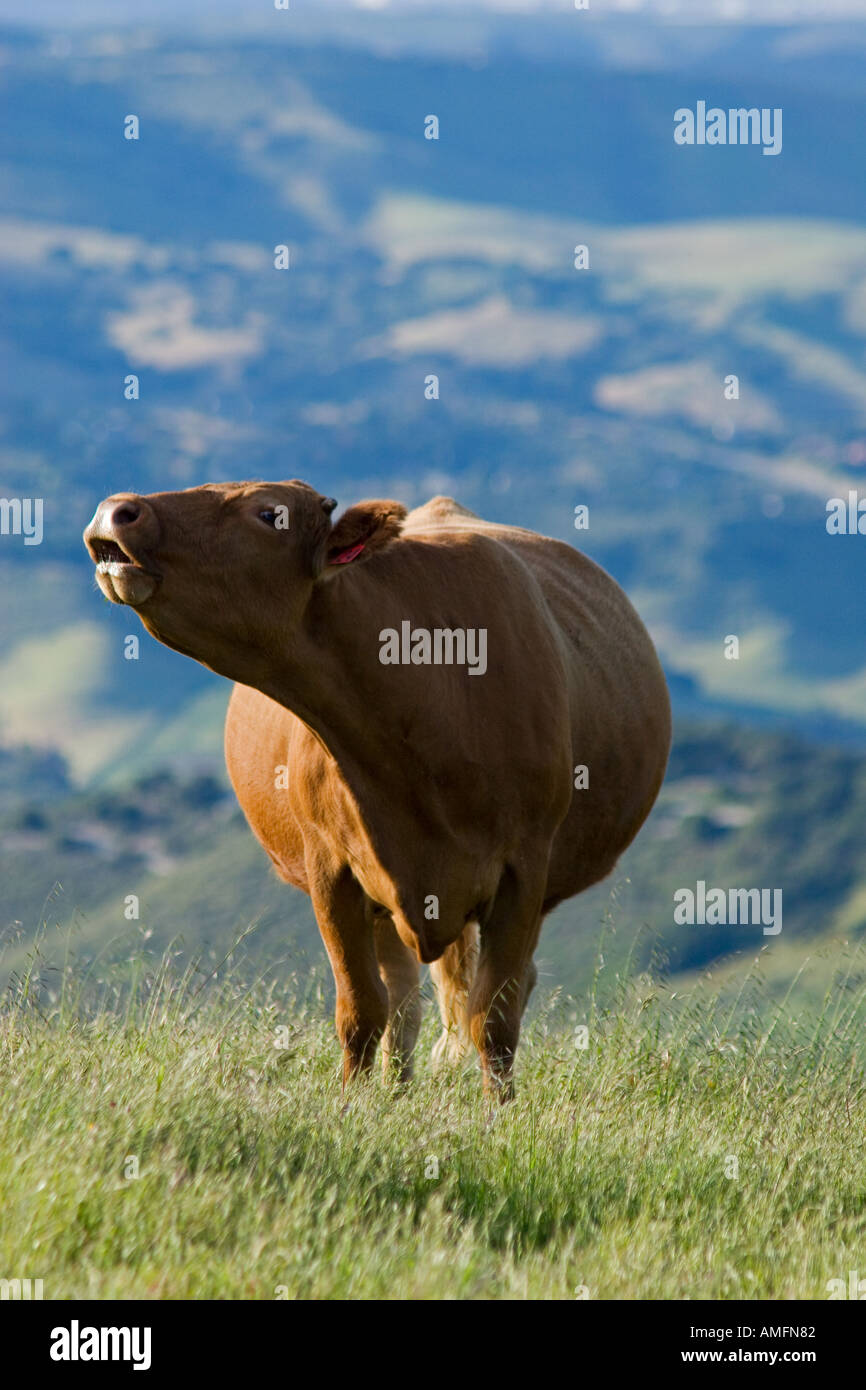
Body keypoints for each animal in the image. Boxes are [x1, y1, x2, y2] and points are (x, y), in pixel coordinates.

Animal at [84, 480, 671, 1098]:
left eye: (270, 514)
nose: (118, 509)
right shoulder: (332, 869)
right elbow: (362, 1009)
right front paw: (351, 1104)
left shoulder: (525, 867)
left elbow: (494, 1016)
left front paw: (500, 1112)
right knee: (405, 1002)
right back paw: (395, 1089)